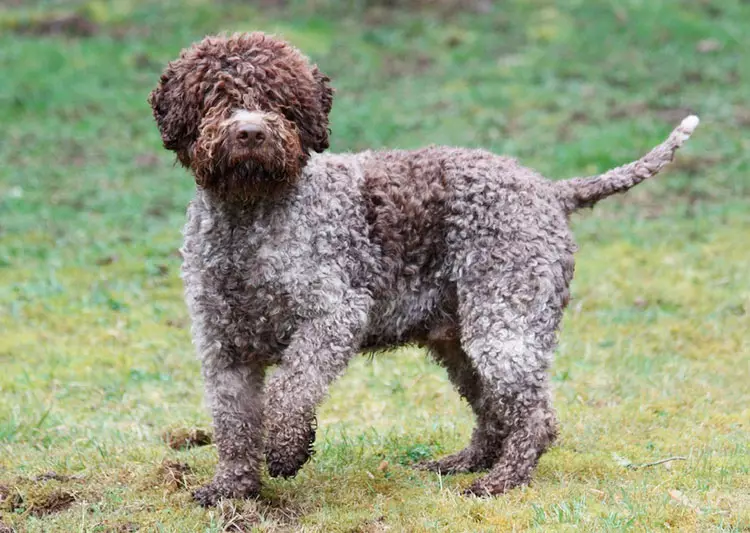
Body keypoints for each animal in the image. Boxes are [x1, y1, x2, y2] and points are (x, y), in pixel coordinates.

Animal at [150, 31, 704, 504]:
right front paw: (232, 488)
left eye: (277, 102)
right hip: (461, 340)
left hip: (504, 321)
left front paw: (286, 451)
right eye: (217, 97)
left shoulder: (333, 316)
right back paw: (466, 462)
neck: (249, 218)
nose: (250, 132)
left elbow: (291, 388)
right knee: (494, 412)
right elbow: (233, 425)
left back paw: (502, 481)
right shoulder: (223, 345)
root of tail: (549, 189)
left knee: (535, 416)